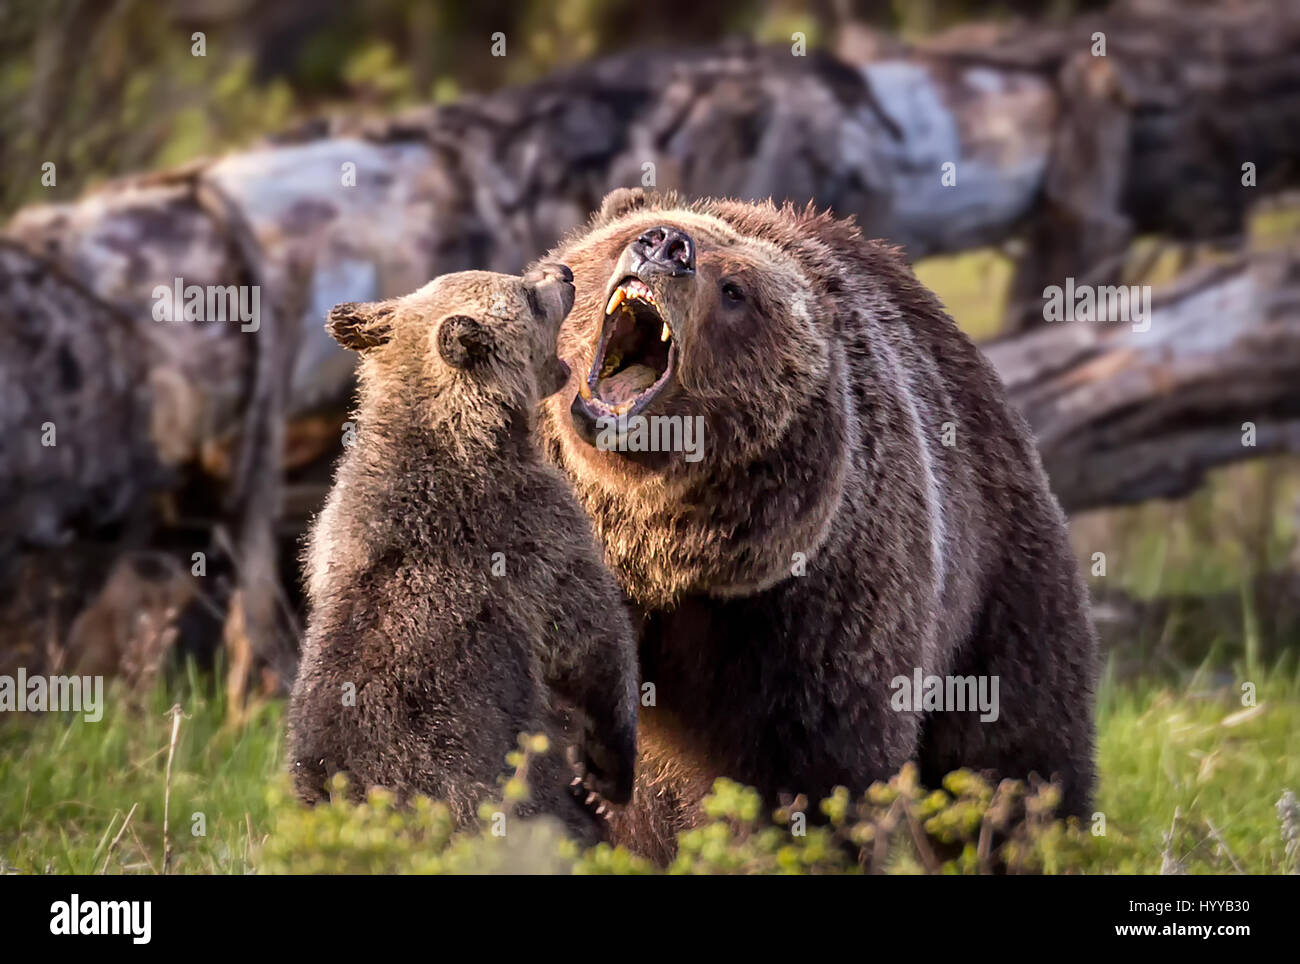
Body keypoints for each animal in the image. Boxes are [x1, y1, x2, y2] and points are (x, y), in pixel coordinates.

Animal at [287, 263, 639, 845]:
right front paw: (606, 774)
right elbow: (595, 641)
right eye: (528, 295)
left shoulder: (331, 530)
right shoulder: (536, 533)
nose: (562, 273)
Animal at [534, 188, 1098, 863]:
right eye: (634, 234)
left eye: (736, 290)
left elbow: (815, 773)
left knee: (1015, 754)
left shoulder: (816, 600)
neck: (660, 554)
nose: (667, 246)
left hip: (997, 578)